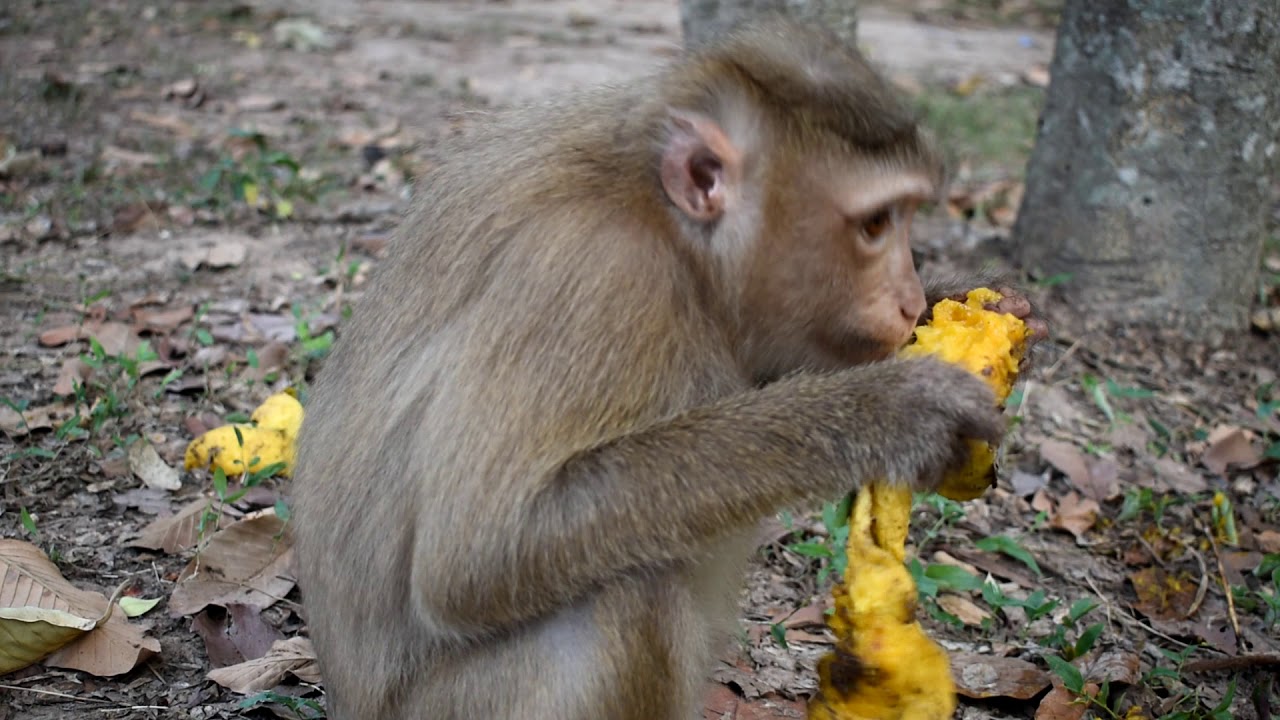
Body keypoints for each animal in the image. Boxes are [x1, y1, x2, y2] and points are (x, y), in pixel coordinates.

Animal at [292, 19, 1030, 720]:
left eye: (907, 217)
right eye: (876, 224)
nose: (907, 297)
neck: (674, 236)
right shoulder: (592, 273)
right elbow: (478, 552)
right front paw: (891, 412)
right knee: (617, 602)